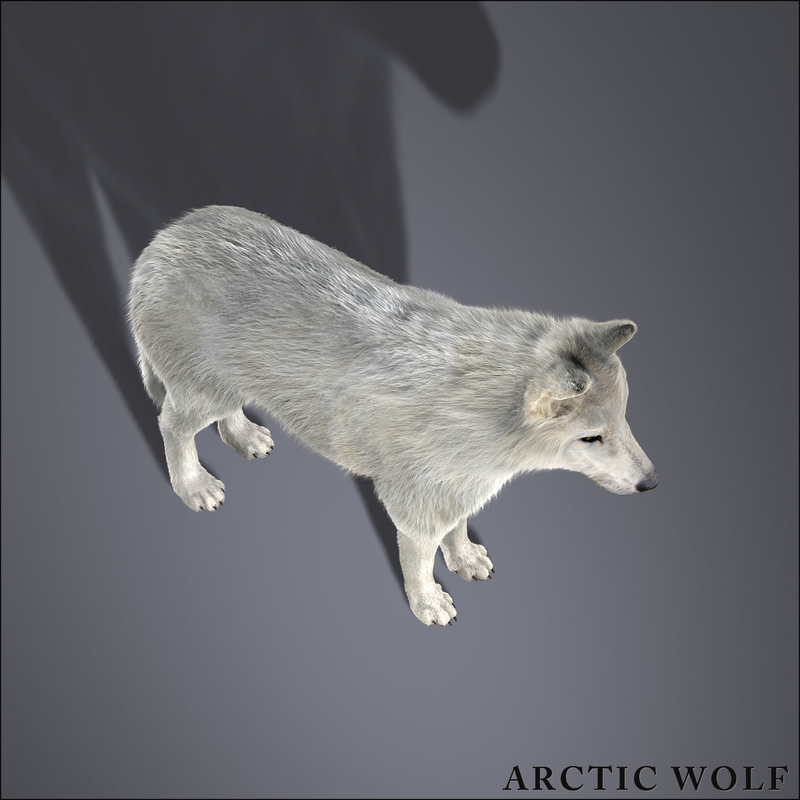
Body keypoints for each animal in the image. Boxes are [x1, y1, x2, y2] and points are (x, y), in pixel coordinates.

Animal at [129, 205, 658, 626]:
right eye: (592, 438)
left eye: (624, 418)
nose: (652, 482)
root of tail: (161, 241)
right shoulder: (418, 496)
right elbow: (419, 559)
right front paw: (428, 601)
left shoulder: (457, 484)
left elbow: (457, 529)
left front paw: (465, 556)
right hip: (203, 390)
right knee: (172, 425)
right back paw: (193, 484)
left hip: (231, 383)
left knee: (226, 413)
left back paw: (244, 437)